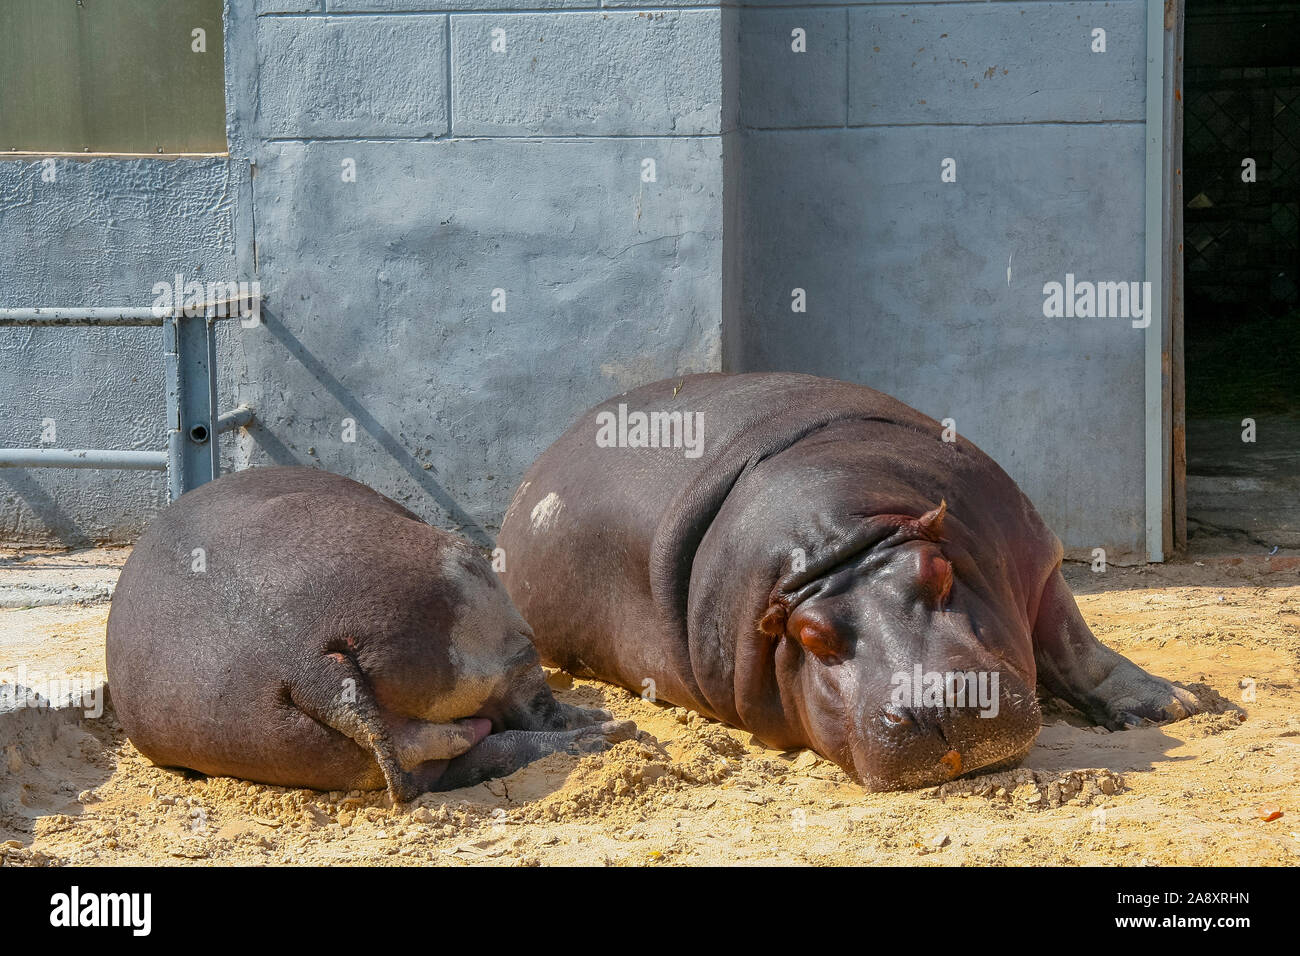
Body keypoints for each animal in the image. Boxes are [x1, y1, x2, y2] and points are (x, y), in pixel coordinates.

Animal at [106, 466, 634, 802]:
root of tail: (301, 662)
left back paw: (607, 736)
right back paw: (612, 731)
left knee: (452, 757)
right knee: (531, 706)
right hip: (482, 601)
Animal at [498, 372, 1206, 790]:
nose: (937, 704)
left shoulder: (1030, 554)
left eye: (941, 571)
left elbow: (1071, 640)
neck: (838, 548)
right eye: (810, 637)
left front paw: (1175, 705)